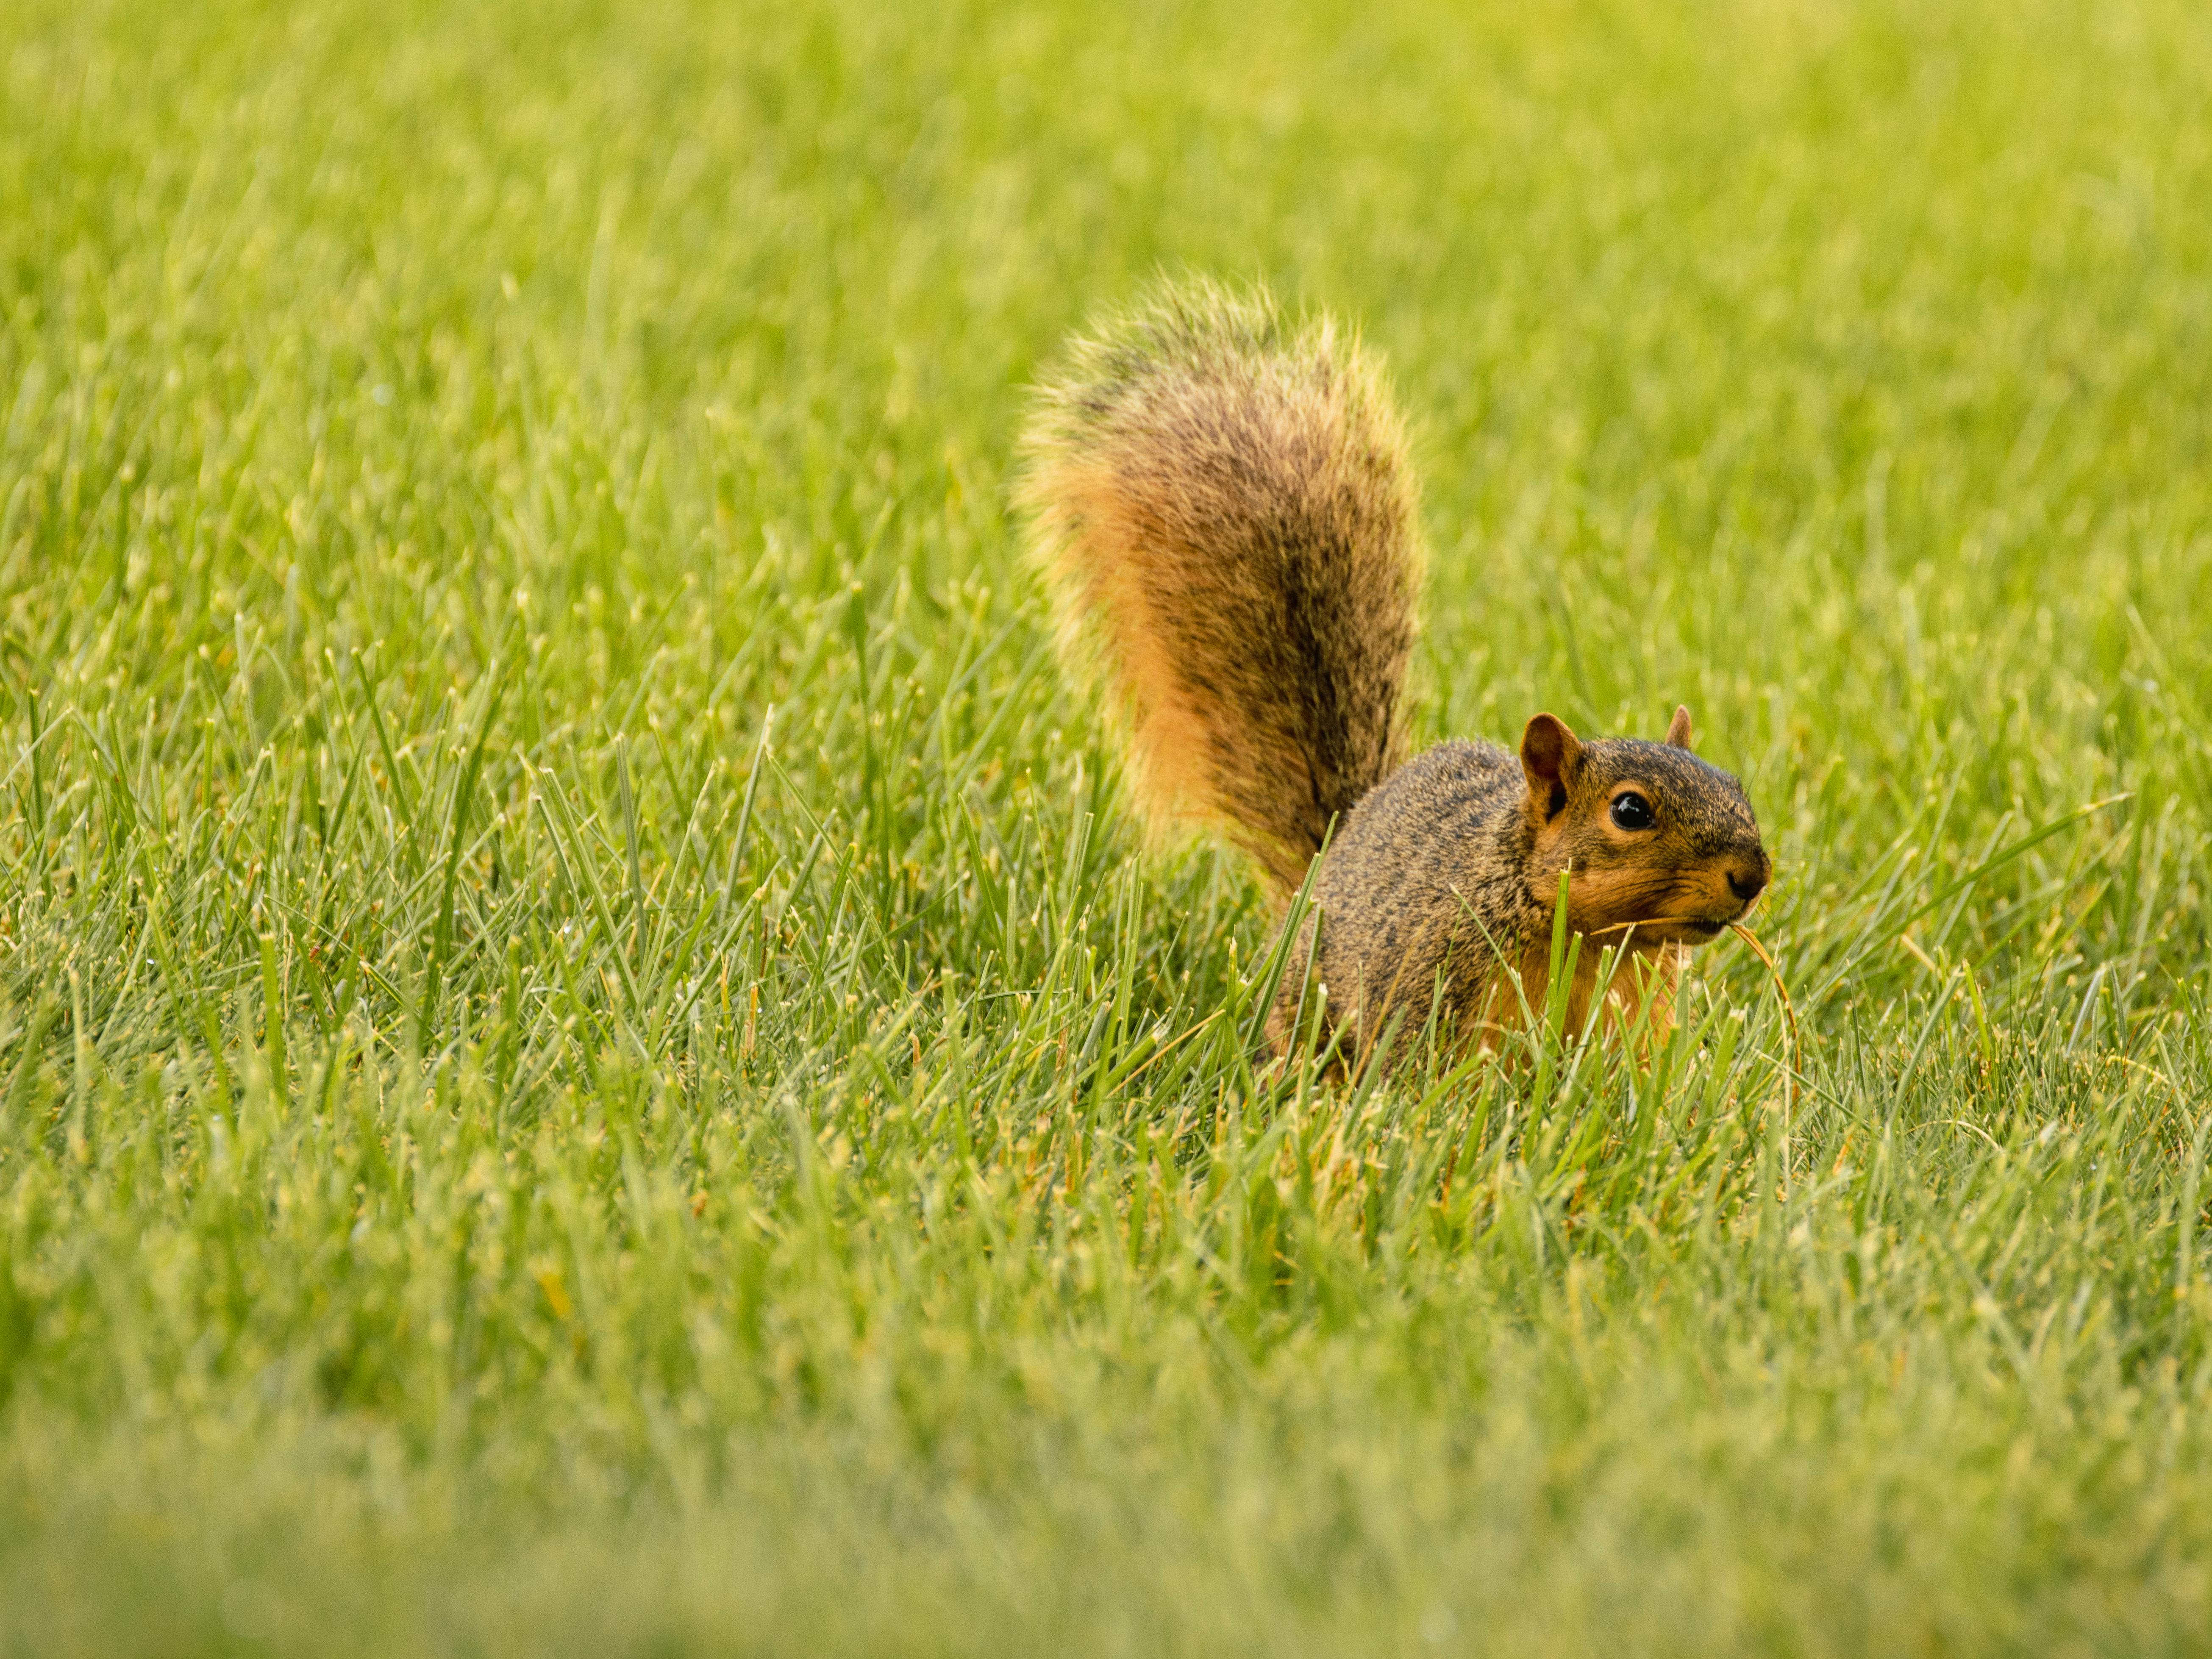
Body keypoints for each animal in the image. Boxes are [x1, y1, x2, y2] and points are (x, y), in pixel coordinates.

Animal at [1018, 277, 1771, 1067]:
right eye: (1630, 811)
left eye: (1735, 784)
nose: (1753, 875)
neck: (1583, 936)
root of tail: (1340, 839)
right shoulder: (1433, 980)